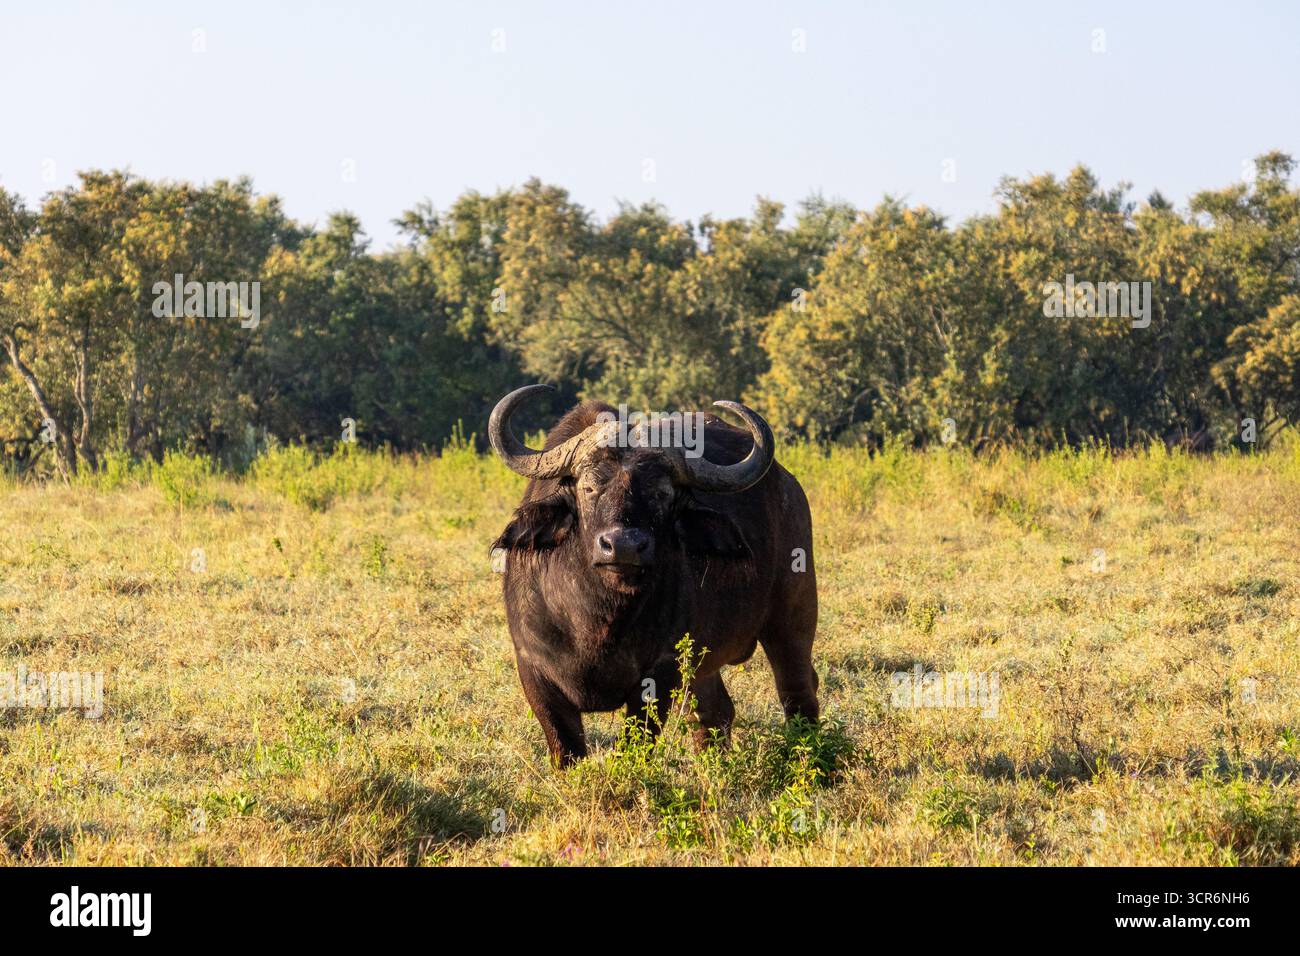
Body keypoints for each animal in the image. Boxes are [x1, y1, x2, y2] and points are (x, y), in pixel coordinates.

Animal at [489, 385, 818, 767]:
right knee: (716, 712)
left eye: (662, 493)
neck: (596, 618)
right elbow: (565, 748)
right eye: (589, 487)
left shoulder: (660, 673)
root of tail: (788, 485)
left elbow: (634, 746)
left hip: (793, 618)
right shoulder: (534, 671)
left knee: (798, 691)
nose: (623, 546)